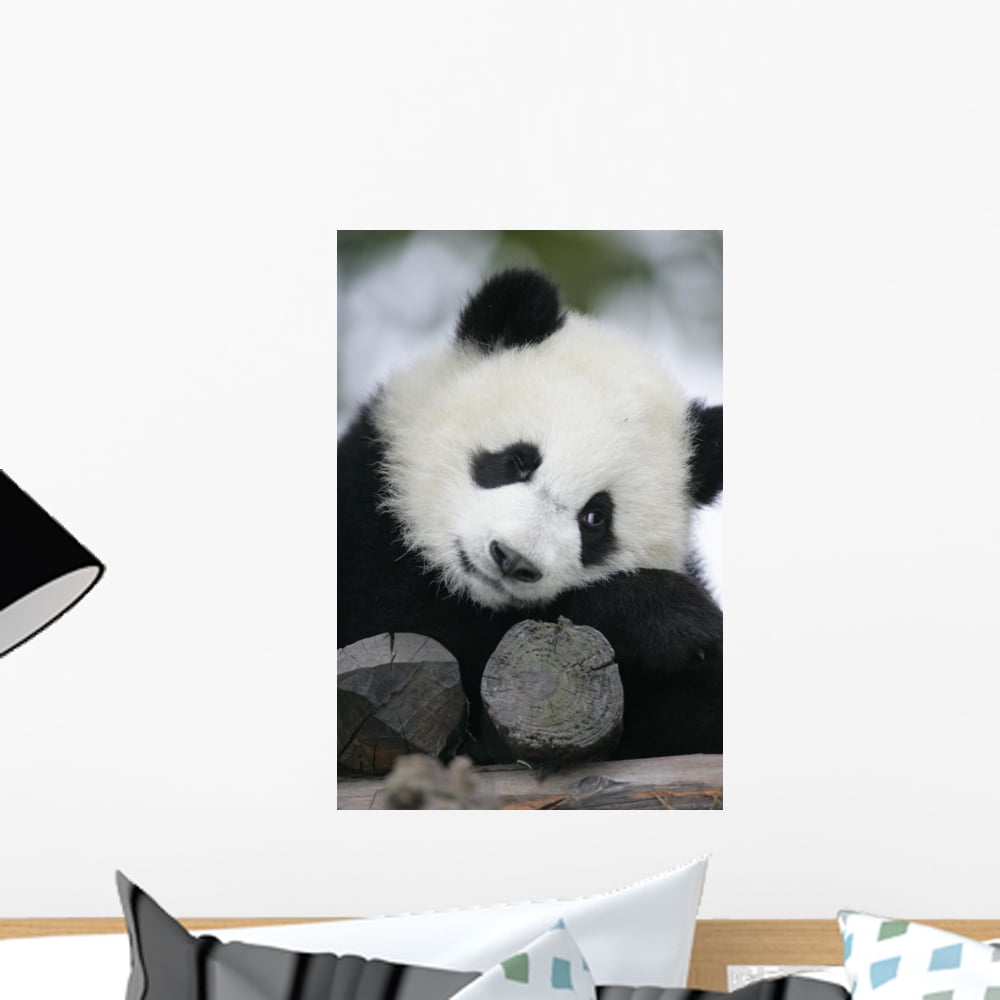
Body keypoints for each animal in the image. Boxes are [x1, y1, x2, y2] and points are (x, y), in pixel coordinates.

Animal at [338, 268, 722, 763]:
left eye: (596, 518)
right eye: (518, 461)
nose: (512, 559)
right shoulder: (362, 517)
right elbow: (413, 626)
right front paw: (664, 614)